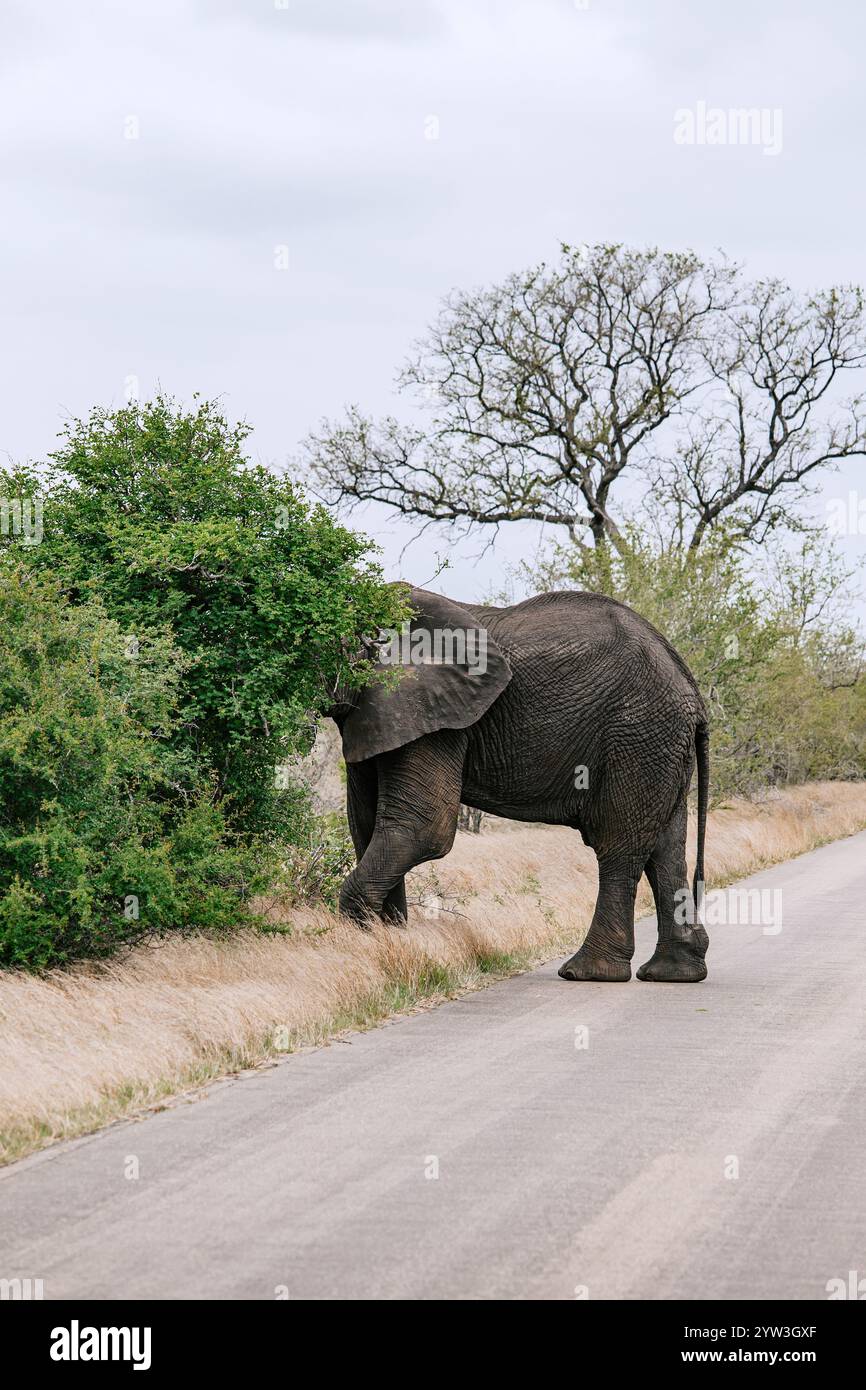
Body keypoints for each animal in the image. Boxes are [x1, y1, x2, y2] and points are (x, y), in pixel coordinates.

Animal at [329, 587, 709, 983]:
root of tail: (693, 692)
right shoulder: (377, 716)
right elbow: (366, 824)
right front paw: (389, 938)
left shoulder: (436, 718)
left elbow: (423, 828)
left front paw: (364, 944)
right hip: (661, 745)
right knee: (665, 848)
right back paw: (674, 973)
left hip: (637, 735)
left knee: (619, 845)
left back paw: (587, 972)